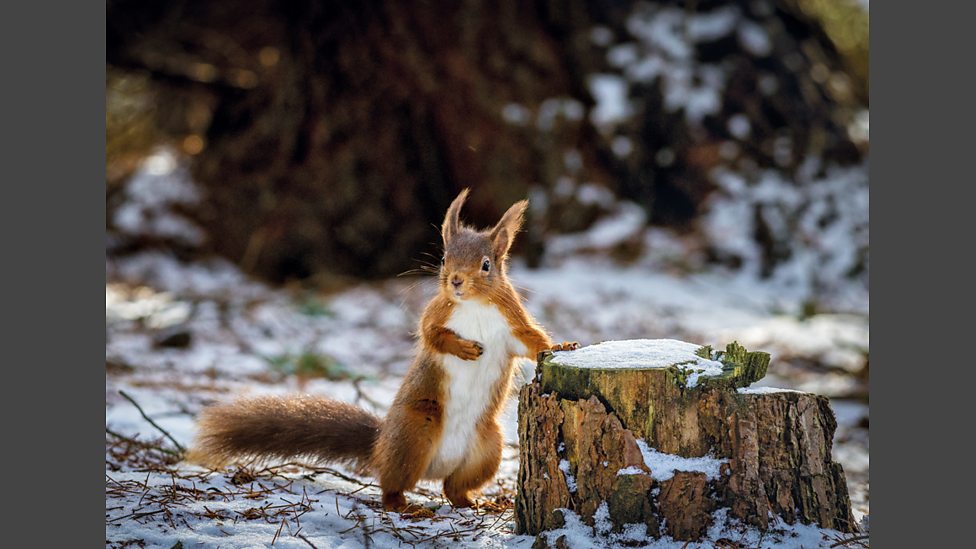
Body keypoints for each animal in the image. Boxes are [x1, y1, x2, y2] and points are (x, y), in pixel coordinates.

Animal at [187, 189, 578, 511]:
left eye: (486, 264)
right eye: (443, 259)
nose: (455, 281)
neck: (475, 306)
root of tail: (382, 445)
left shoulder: (511, 325)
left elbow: (532, 341)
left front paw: (563, 345)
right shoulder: (436, 313)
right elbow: (430, 336)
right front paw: (461, 347)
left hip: (488, 448)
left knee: (452, 489)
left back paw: (475, 503)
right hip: (413, 432)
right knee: (392, 486)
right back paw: (406, 506)